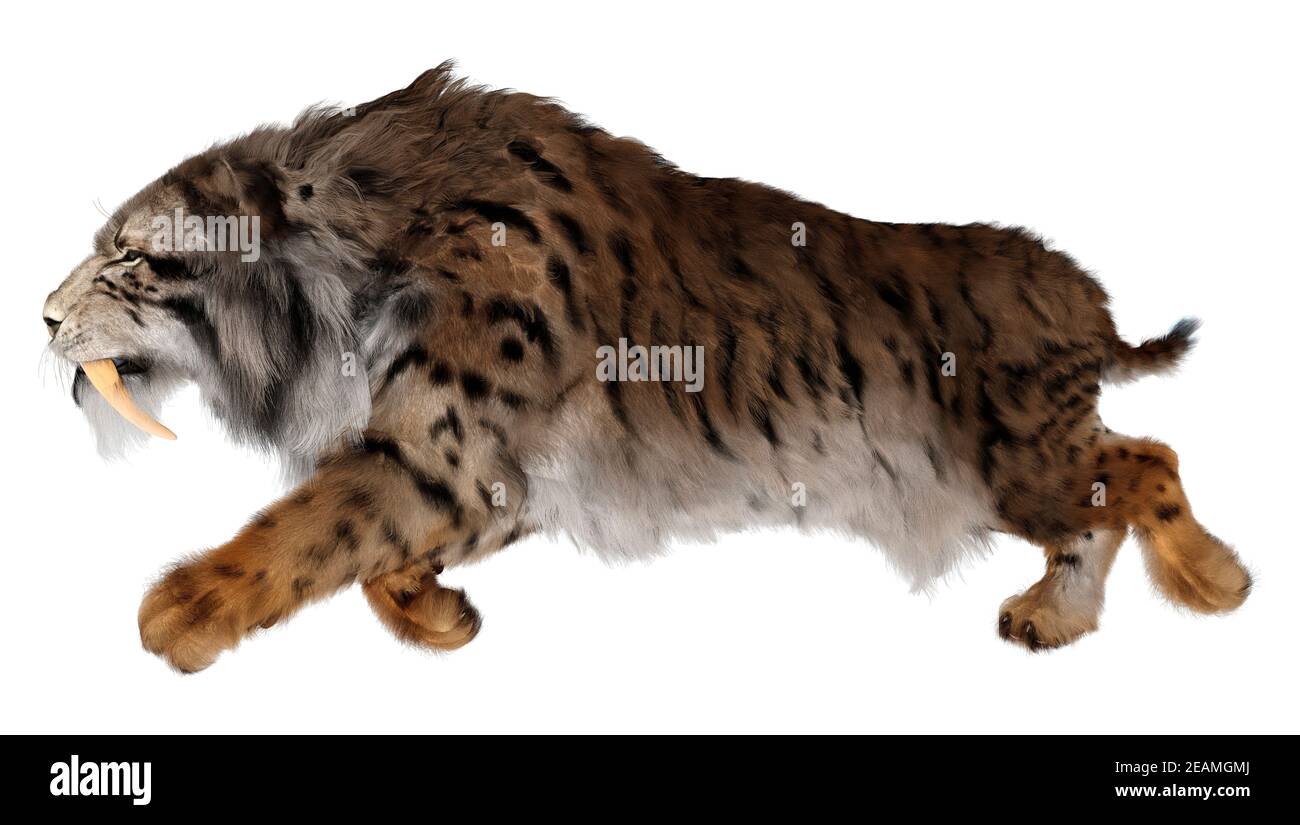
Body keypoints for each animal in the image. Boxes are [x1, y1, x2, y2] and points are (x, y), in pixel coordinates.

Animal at [42, 63, 1250, 672]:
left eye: (128, 259)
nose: (44, 317)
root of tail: (1088, 299)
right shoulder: (497, 473)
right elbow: (369, 546)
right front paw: (435, 617)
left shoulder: (447, 453)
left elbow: (305, 528)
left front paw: (181, 610)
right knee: (1118, 478)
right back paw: (1058, 617)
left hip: (1011, 454)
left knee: (1149, 459)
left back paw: (1215, 580)